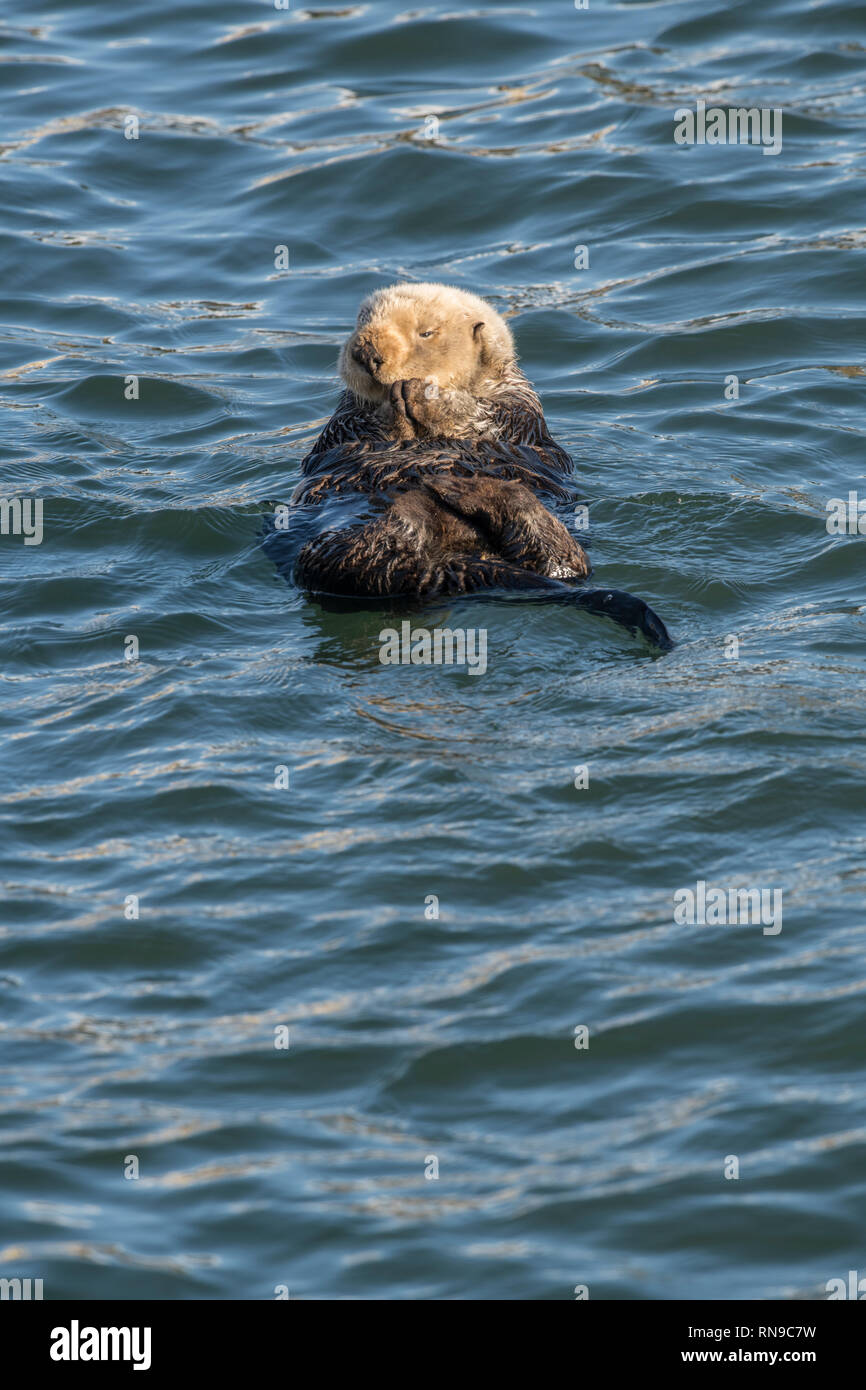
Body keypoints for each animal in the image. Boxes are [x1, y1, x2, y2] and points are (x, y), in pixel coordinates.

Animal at [267, 283, 672, 648]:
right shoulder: (343, 421)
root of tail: (452, 566)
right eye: (361, 323)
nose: (365, 352)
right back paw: (427, 501)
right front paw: (397, 405)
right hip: (327, 556)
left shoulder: (517, 408)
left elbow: (482, 418)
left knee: (570, 564)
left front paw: (424, 394)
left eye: (425, 333)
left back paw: (462, 490)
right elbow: (357, 429)